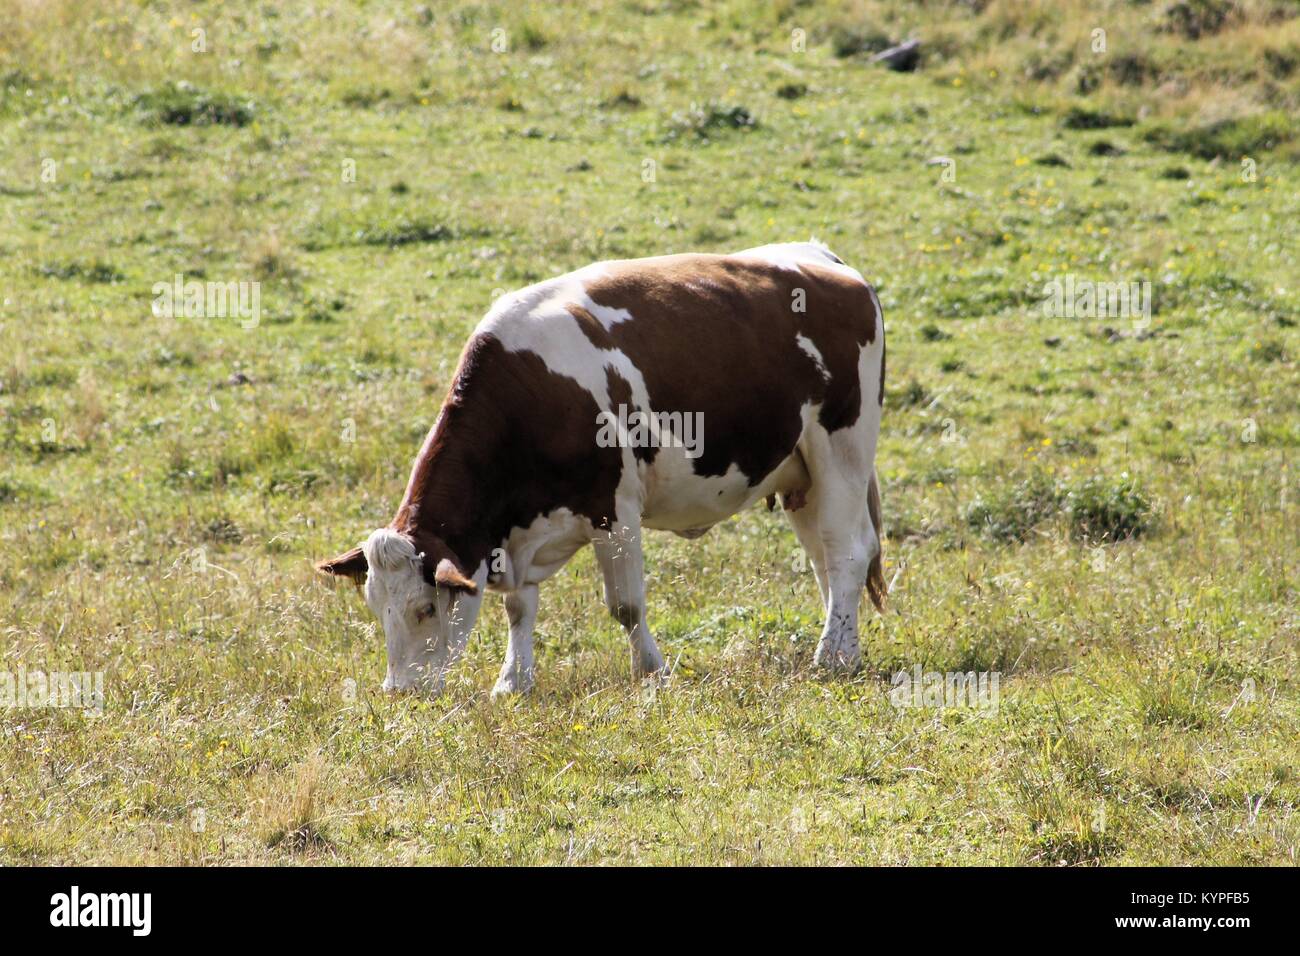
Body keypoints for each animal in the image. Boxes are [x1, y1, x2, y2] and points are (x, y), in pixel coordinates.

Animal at [317, 241, 886, 696]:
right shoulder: (518, 533)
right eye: (375, 607)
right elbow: (518, 608)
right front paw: (512, 682)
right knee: (826, 559)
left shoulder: (615, 510)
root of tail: (823, 257)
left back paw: (830, 657)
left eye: (426, 608)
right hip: (800, 474)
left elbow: (626, 606)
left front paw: (652, 672)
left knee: (848, 551)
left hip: (843, 449)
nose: (399, 692)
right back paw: (846, 647)